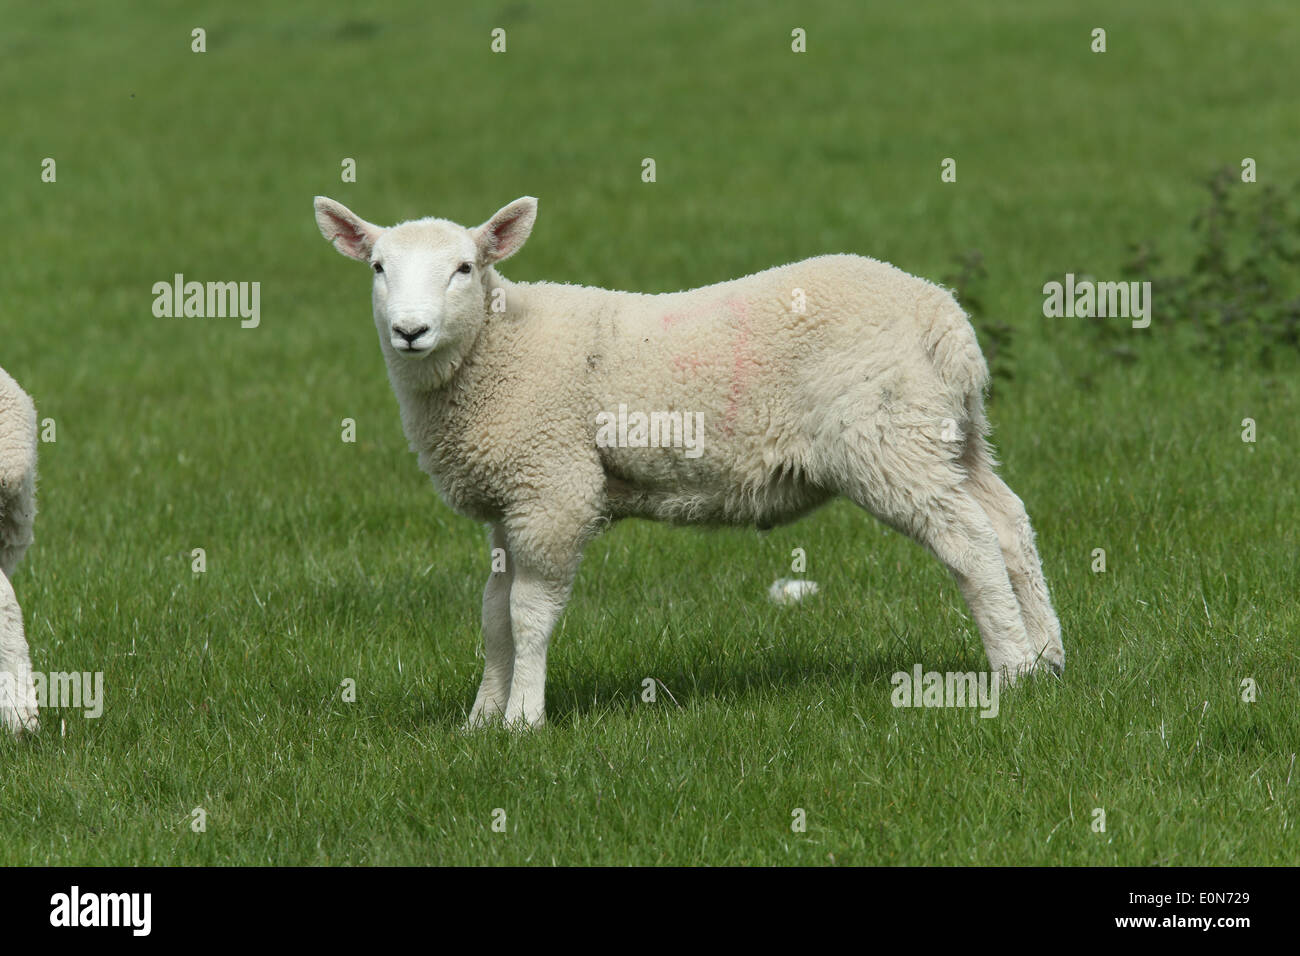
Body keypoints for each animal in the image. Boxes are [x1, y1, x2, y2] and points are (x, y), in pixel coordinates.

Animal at [314, 195, 1064, 729]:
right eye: (378, 268)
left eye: (464, 268)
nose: (410, 331)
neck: (493, 354)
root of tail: (947, 325)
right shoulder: (510, 498)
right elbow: (493, 613)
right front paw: (479, 721)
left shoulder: (553, 487)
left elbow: (529, 611)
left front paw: (524, 720)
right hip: (951, 436)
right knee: (1009, 525)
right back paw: (1047, 661)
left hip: (889, 436)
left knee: (968, 539)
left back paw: (1010, 668)